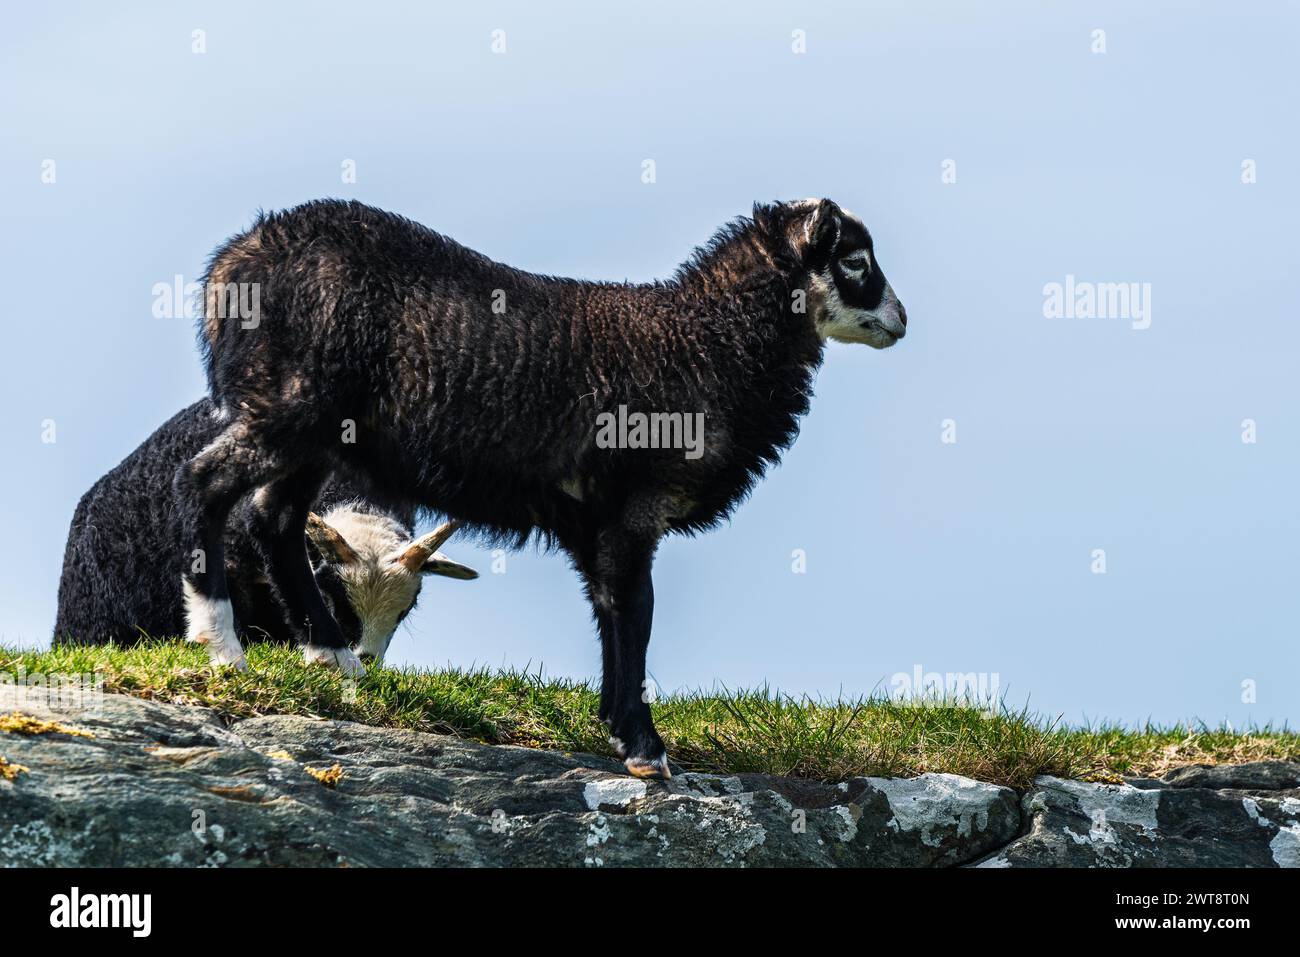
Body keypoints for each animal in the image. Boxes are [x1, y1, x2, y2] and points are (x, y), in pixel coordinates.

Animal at [178, 197, 907, 777]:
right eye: (854, 260)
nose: (901, 320)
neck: (710, 341)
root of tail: (233, 262)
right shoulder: (634, 507)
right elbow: (636, 615)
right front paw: (646, 748)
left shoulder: (596, 520)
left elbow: (612, 613)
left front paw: (618, 728)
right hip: (297, 401)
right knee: (207, 481)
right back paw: (221, 644)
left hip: (318, 424)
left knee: (273, 518)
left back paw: (332, 657)